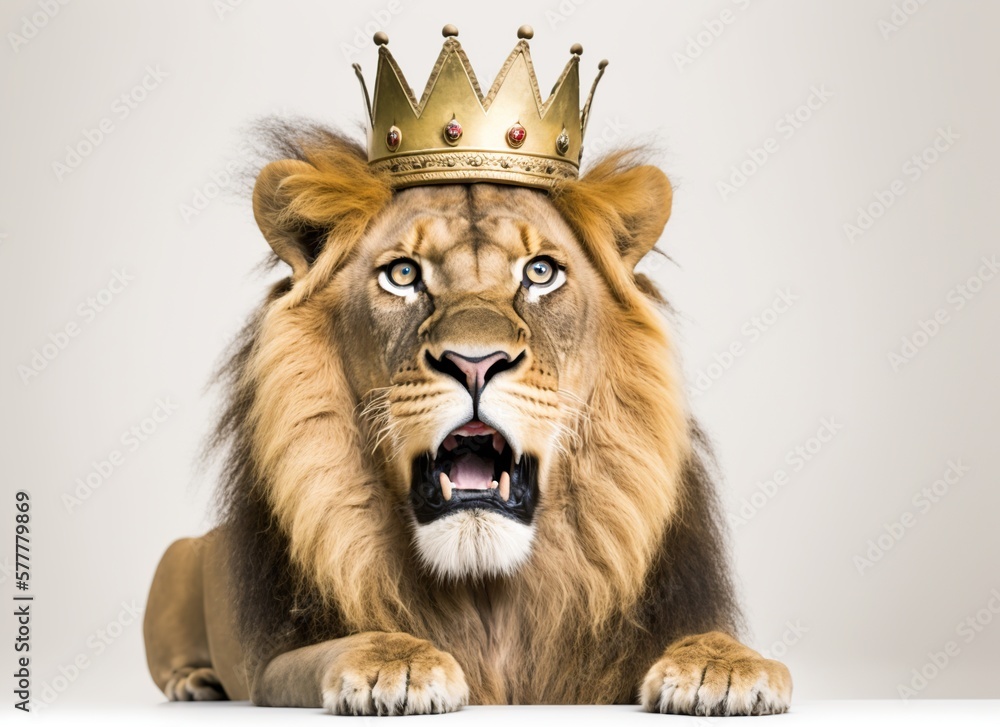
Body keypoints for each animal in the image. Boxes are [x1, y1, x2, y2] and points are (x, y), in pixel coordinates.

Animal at [143, 122, 792, 716]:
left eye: (540, 273)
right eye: (403, 275)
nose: (475, 362)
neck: (486, 590)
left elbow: (694, 640)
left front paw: (725, 665)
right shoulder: (273, 666)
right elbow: (335, 648)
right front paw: (397, 665)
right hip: (177, 556)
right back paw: (194, 682)